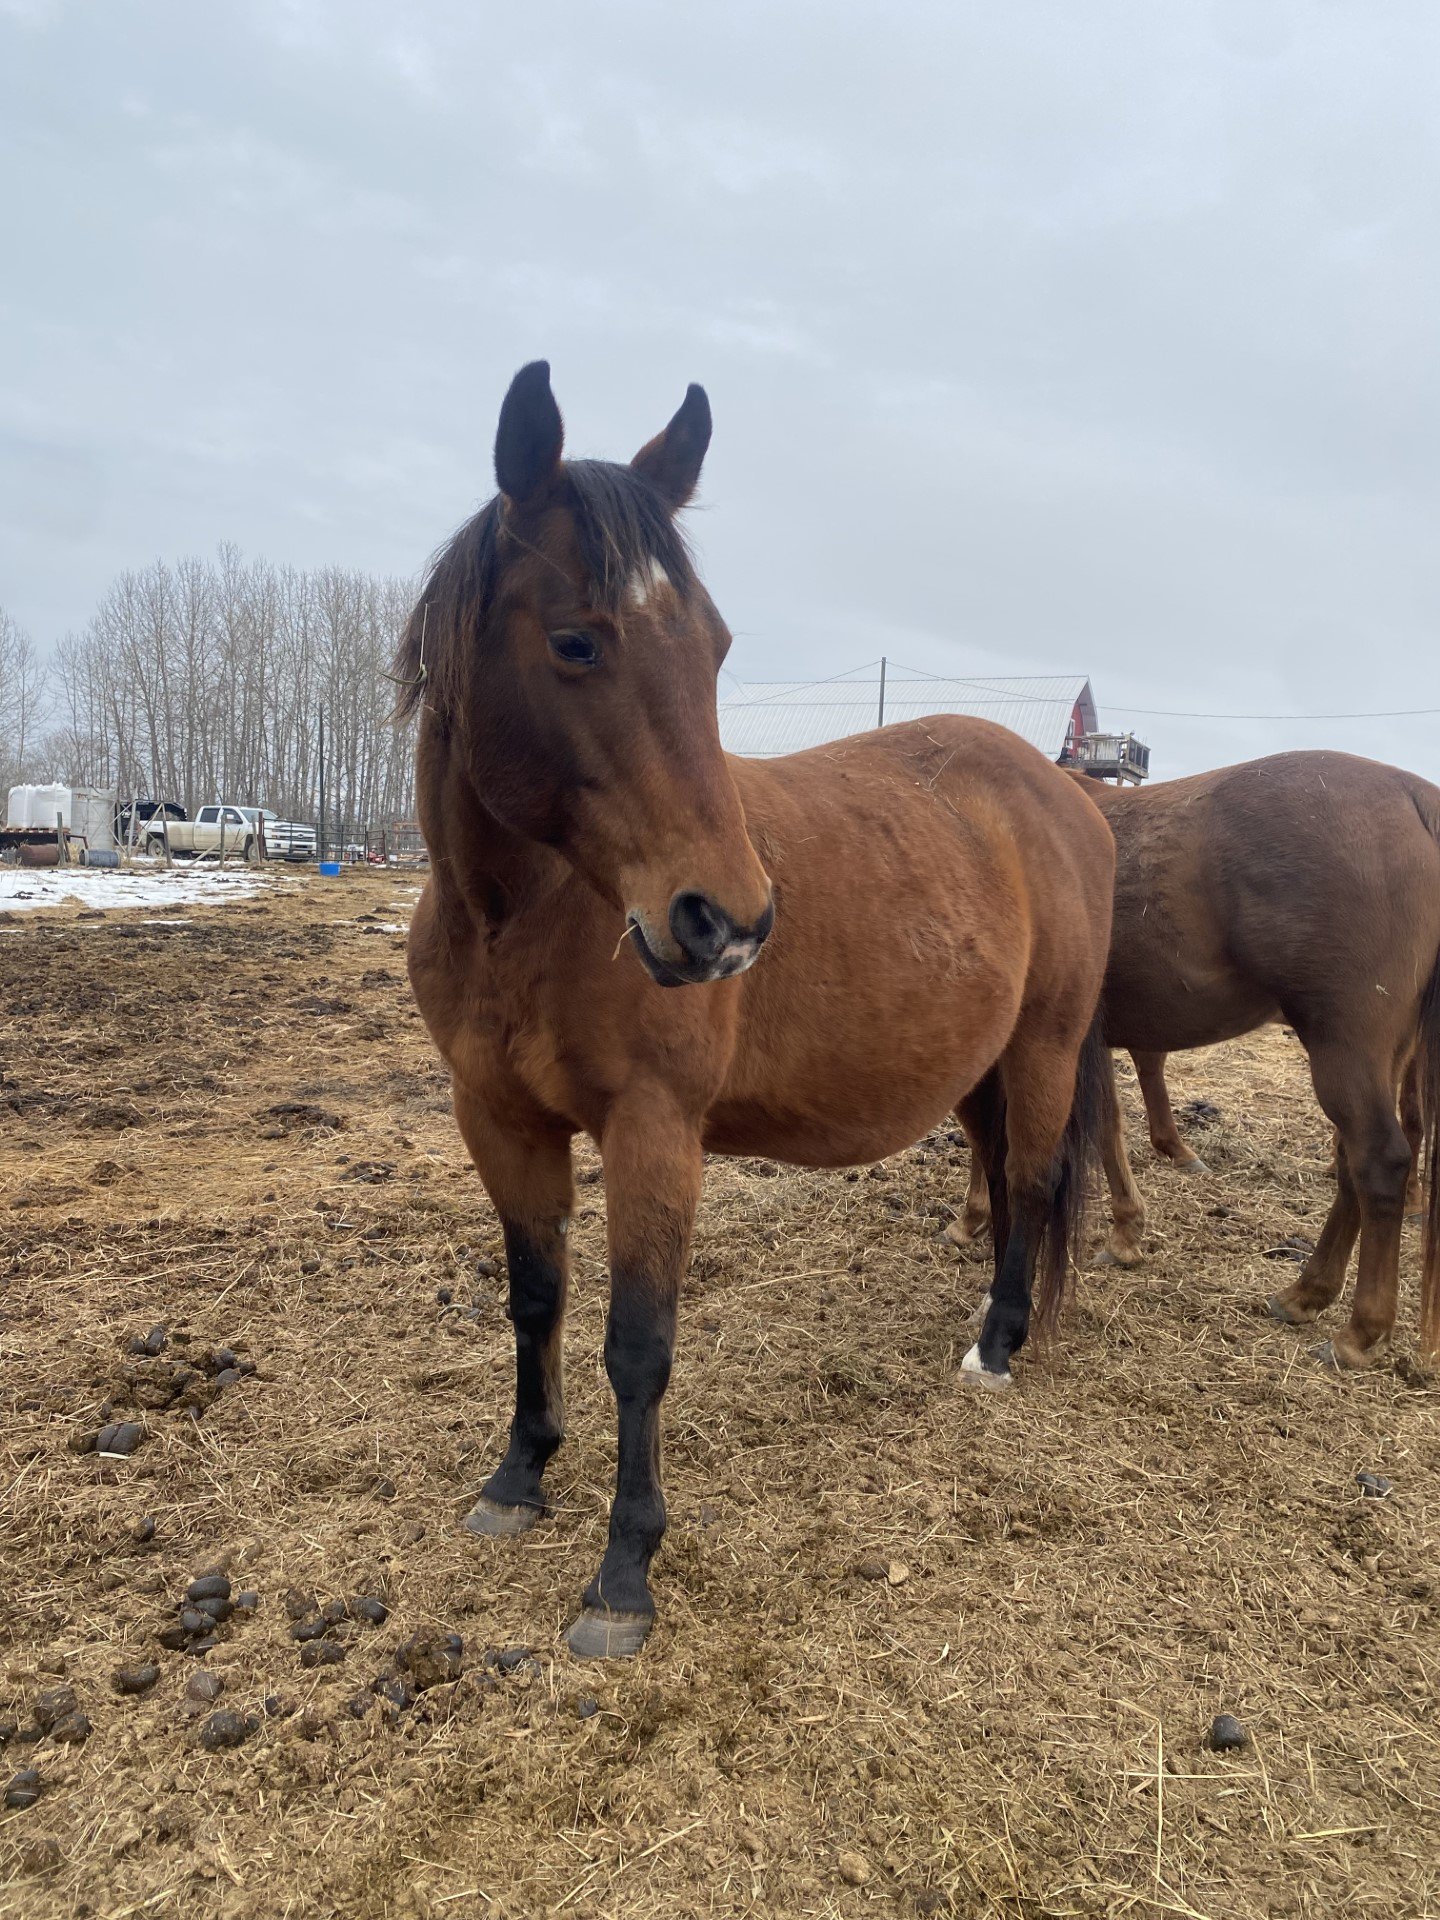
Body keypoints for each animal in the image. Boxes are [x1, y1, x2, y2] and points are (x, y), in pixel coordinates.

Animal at [397, 361, 1116, 1658]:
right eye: (575, 640)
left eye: (718, 647)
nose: (724, 924)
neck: (523, 918)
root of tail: (1067, 796)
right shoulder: (497, 1119)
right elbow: (536, 1301)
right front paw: (519, 1477)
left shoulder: (654, 1129)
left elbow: (639, 1346)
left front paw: (623, 1573)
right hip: (980, 1067)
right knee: (1007, 1179)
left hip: (1043, 1047)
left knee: (1037, 1180)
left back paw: (997, 1345)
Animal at [953, 753, 1440, 1368]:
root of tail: (1412, 793)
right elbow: (1106, 1127)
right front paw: (1127, 1232)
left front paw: (972, 1217)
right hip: (1379, 1055)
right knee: (1352, 1163)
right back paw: (1307, 1293)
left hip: (1347, 1049)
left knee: (1379, 1163)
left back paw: (1359, 1332)